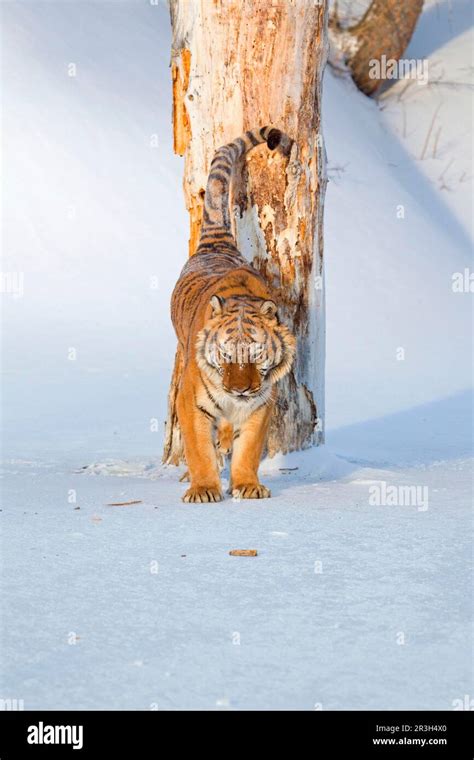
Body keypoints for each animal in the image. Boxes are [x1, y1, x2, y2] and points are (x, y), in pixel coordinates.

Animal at [171, 126, 296, 503]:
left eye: (256, 355)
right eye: (226, 355)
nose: (240, 390)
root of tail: (218, 244)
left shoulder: (261, 405)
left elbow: (249, 449)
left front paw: (247, 486)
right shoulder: (191, 403)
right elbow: (198, 449)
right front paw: (204, 489)